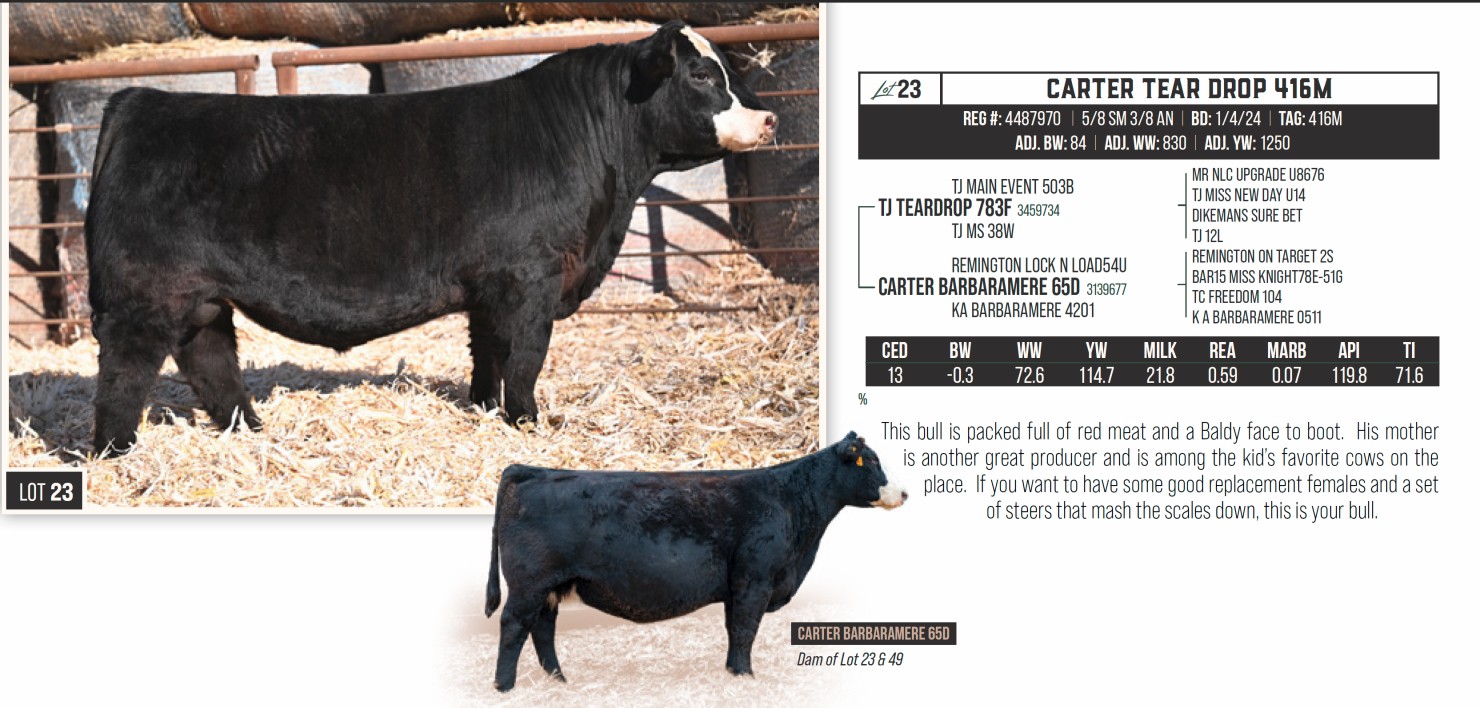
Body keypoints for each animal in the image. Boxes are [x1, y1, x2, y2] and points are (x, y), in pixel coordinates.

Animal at [83, 20, 777, 456]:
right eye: (700, 75)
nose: (768, 118)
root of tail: (139, 99)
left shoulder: (492, 287)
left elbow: (488, 355)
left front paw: (488, 412)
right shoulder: (530, 276)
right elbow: (525, 357)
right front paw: (529, 423)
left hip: (200, 300)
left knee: (211, 363)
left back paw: (249, 433)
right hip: (141, 298)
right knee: (123, 373)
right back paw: (116, 453)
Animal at [483, 432, 907, 691]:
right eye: (868, 462)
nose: (903, 492)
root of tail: (528, 470)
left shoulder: (738, 587)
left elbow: (735, 630)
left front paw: (733, 673)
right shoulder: (755, 580)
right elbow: (745, 630)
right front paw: (747, 678)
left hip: (550, 586)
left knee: (542, 628)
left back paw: (558, 679)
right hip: (530, 583)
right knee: (514, 625)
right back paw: (504, 686)